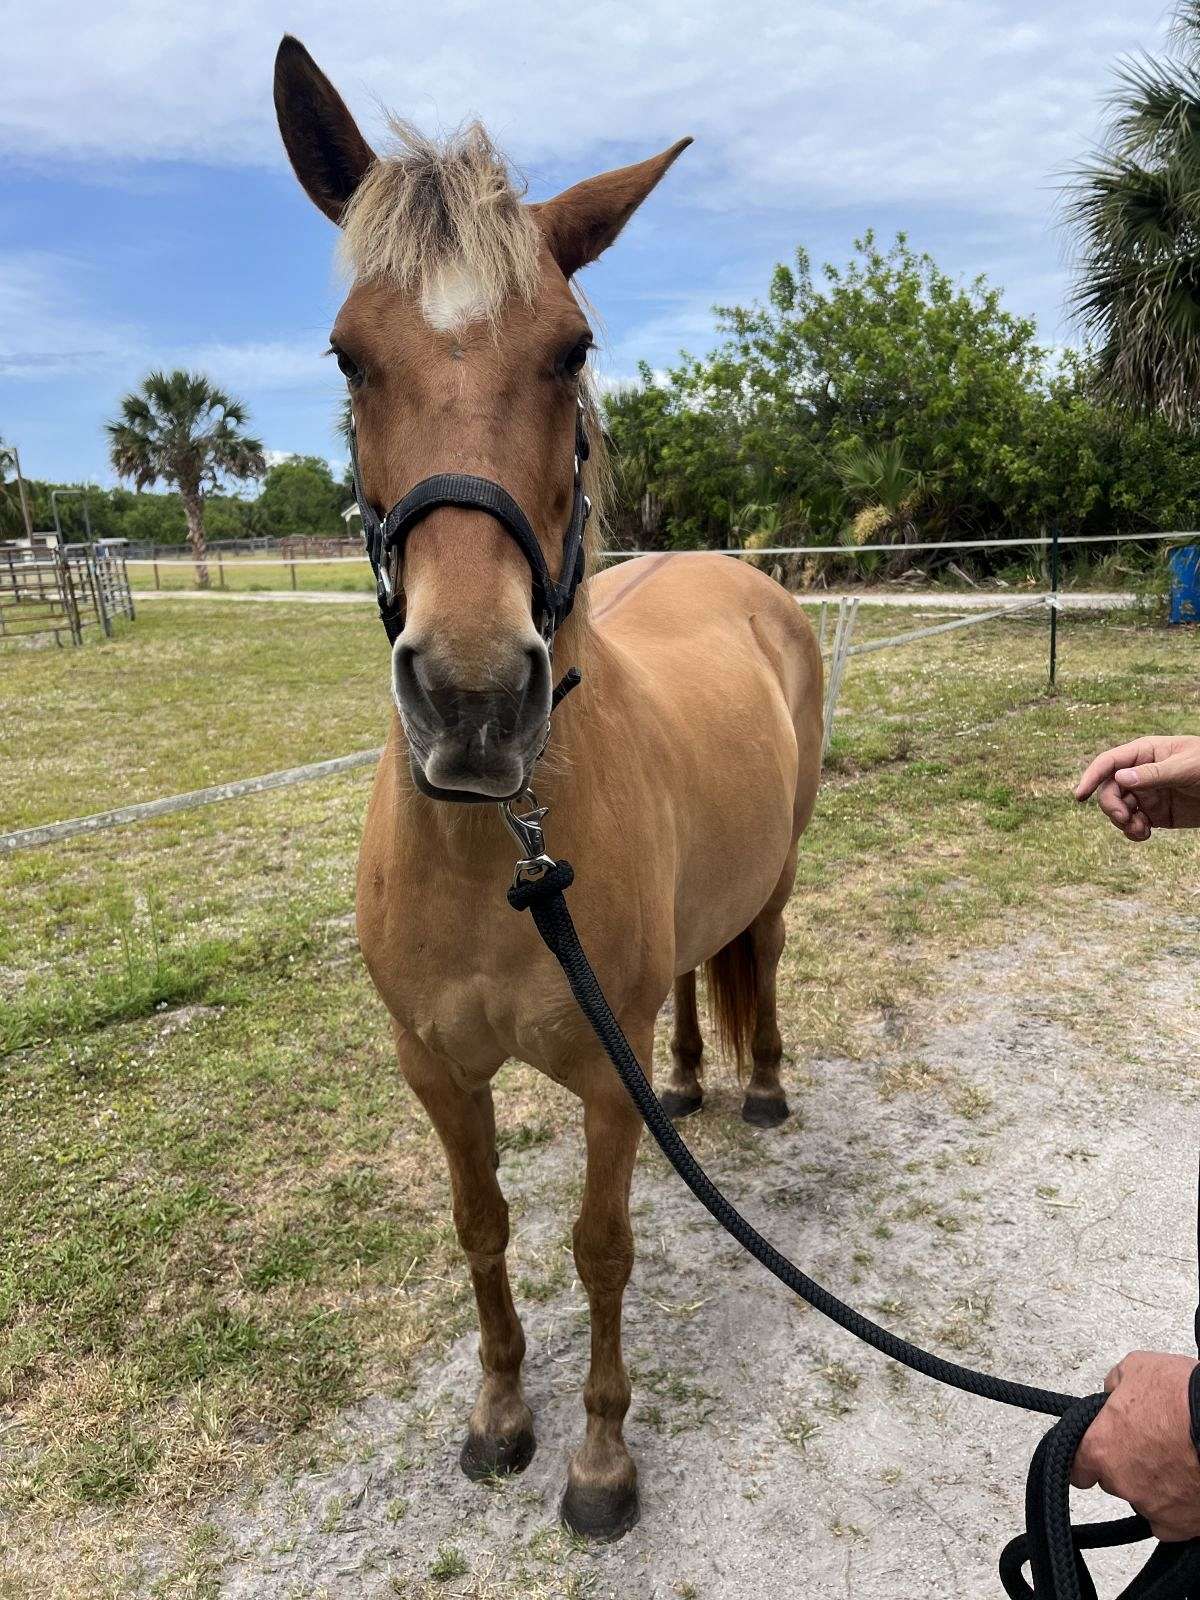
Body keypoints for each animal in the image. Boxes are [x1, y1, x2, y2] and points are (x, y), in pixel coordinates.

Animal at [274, 36, 824, 1541]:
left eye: (568, 350)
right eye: (348, 354)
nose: (471, 702)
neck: (497, 860)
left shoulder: (596, 1078)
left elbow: (600, 1245)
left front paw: (599, 1460)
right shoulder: (436, 1072)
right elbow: (484, 1234)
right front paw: (501, 1418)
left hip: (783, 870)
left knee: (759, 955)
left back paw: (757, 1088)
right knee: (695, 975)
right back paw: (694, 1079)